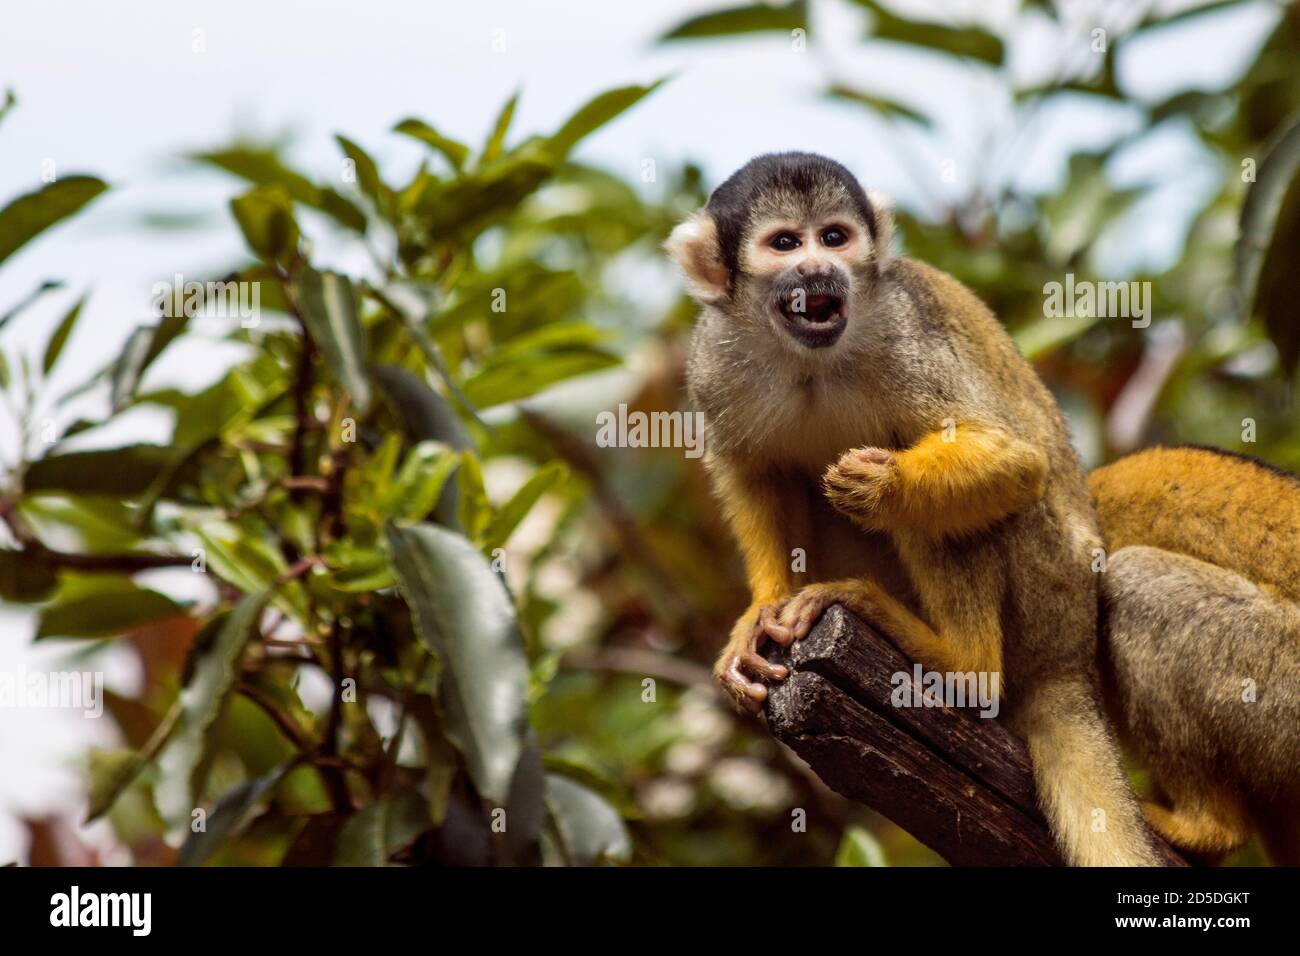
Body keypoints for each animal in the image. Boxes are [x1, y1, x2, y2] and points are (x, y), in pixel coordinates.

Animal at [666, 151, 1161, 866]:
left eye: (834, 237)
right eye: (785, 244)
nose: (818, 270)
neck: (809, 357)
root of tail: (1071, 658)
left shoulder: (904, 337)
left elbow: (1016, 460)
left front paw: (886, 487)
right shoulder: (712, 360)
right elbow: (753, 475)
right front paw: (759, 614)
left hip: (1048, 586)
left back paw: (958, 660)